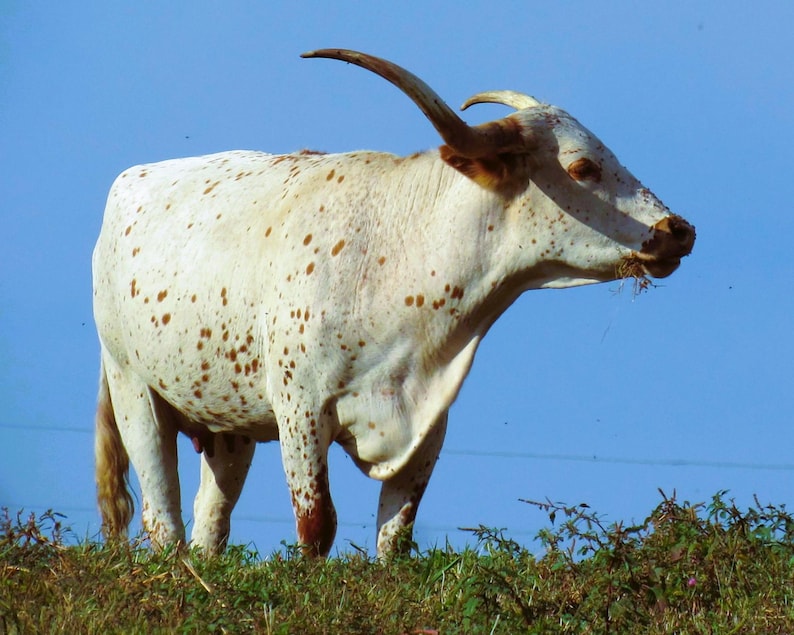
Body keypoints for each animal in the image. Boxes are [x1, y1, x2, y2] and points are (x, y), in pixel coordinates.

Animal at [93, 49, 695, 558]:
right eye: (582, 168)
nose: (679, 231)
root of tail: (130, 180)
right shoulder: (300, 409)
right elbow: (317, 526)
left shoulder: (428, 425)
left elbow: (395, 537)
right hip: (134, 390)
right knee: (163, 519)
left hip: (226, 422)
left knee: (210, 522)